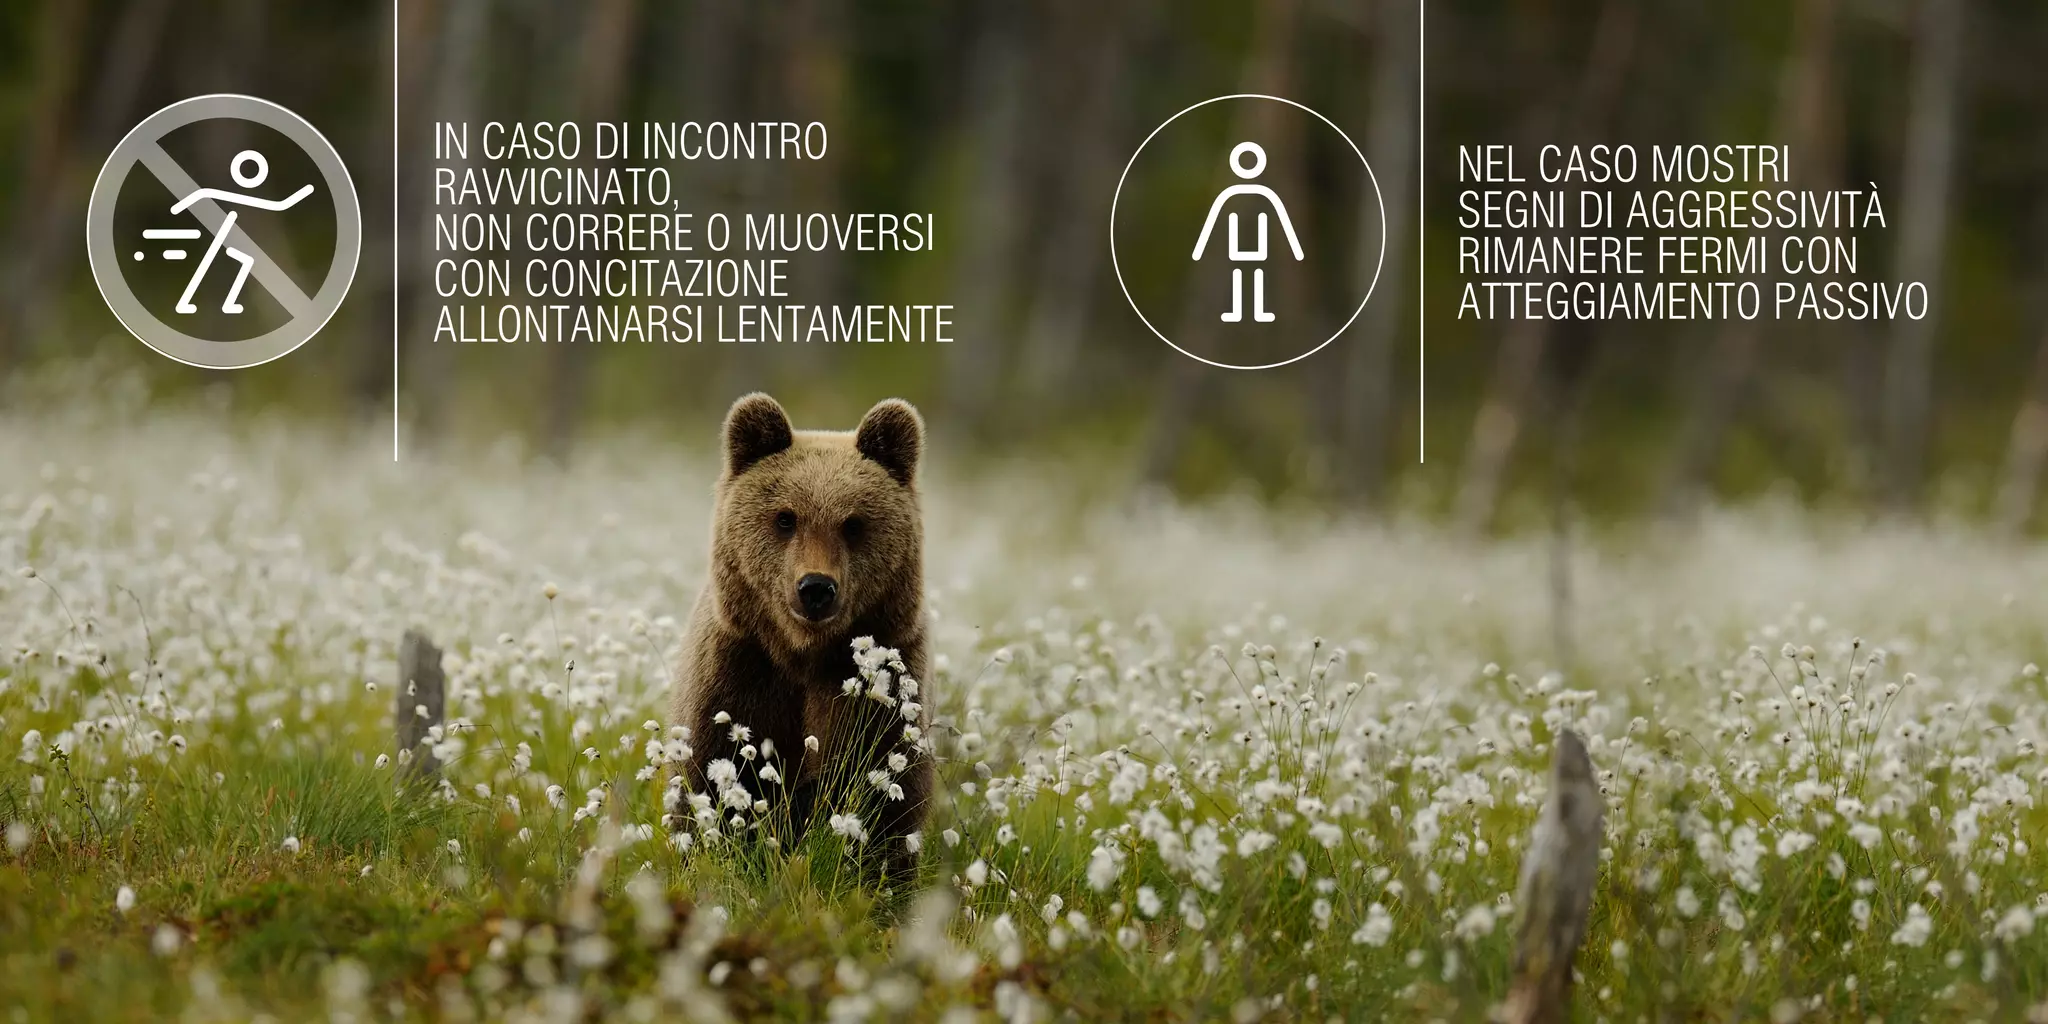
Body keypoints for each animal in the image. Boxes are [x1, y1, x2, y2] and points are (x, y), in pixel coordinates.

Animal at [668, 392, 934, 882]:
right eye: (786, 518)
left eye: (853, 523)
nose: (815, 588)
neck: (804, 653)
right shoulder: (741, 670)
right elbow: (714, 780)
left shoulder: (885, 684)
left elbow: (885, 799)